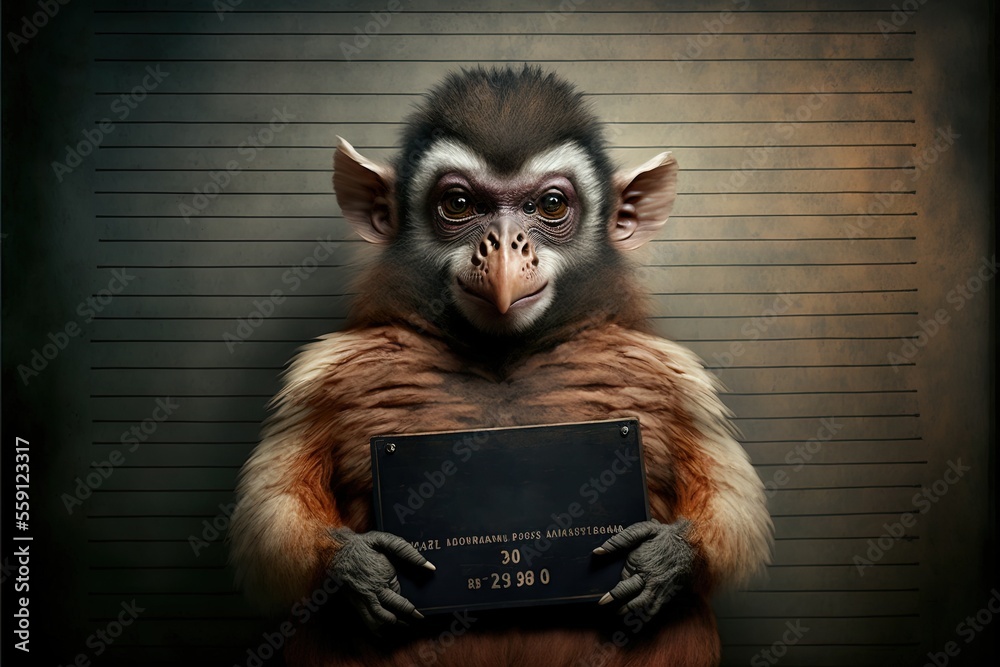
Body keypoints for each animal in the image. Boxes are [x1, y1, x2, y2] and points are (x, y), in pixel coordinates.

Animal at [229, 66, 772, 667]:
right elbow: (268, 522)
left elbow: (732, 508)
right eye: (460, 203)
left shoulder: (678, 377)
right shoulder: (318, 375)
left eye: (550, 205)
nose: (506, 246)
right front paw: (359, 567)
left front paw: (664, 556)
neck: (505, 360)